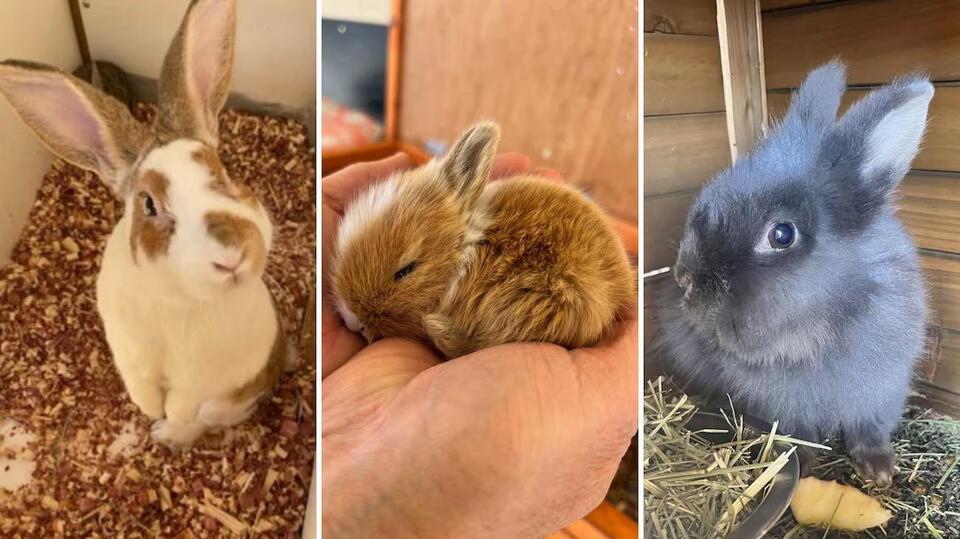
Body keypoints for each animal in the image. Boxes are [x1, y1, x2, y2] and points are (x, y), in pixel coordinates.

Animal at [0, 0, 294, 449]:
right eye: (149, 204)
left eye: (224, 173)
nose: (232, 255)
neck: (175, 298)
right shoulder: (127, 349)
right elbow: (140, 384)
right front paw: (149, 410)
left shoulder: (199, 375)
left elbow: (185, 401)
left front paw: (164, 419)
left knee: (204, 419)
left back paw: (169, 435)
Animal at [654, 59, 933, 486]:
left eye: (781, 235)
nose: (683, 278)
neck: (820, 329)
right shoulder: (783, 406)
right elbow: (797, 433)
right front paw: (803, 463)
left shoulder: (881, 390)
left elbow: (869, 430)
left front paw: (879, 471)